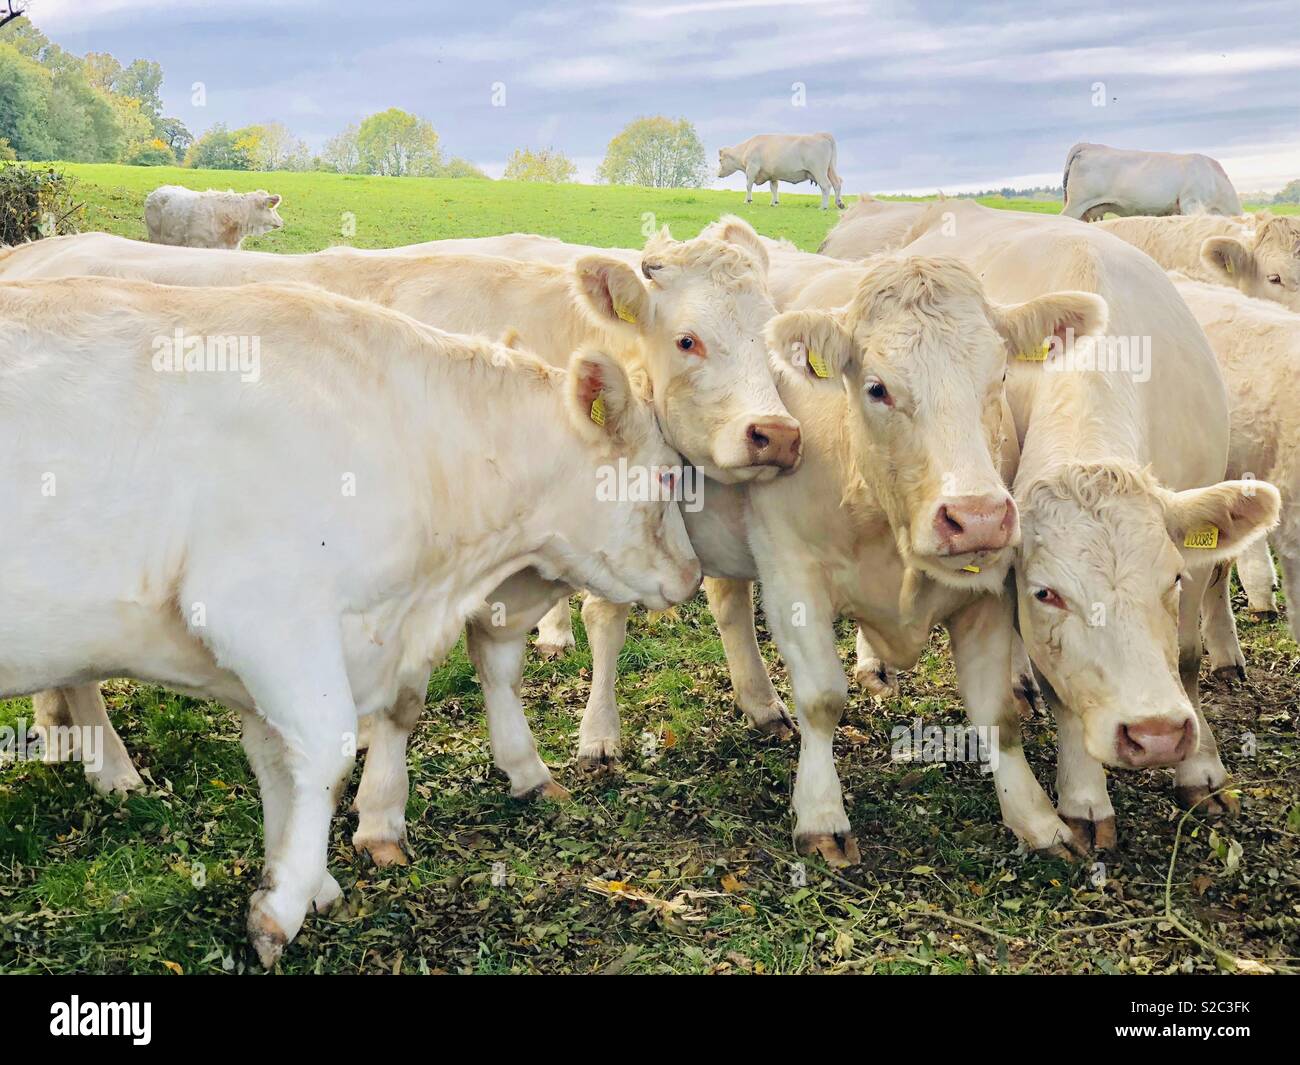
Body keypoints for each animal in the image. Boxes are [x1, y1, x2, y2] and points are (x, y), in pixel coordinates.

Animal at [0, 275, 700, 965]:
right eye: (668, 476)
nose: (692, 575)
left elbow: (281, 763)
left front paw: (308, 884)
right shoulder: (261, 608)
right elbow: (327, 747)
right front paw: (280, 908)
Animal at [717, 133, 845, 210]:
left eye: (720, 160)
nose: (718, 174)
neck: (747, 148)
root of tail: (822, 134)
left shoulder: (752, 168)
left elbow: (748, 185)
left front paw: (747, 200)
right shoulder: (773, 175)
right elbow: (774, 188)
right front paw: (774, 203)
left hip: (818, 170)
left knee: (826, 186)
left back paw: (823, 206)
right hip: (830, 169)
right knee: (837, 183)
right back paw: (839, 203)